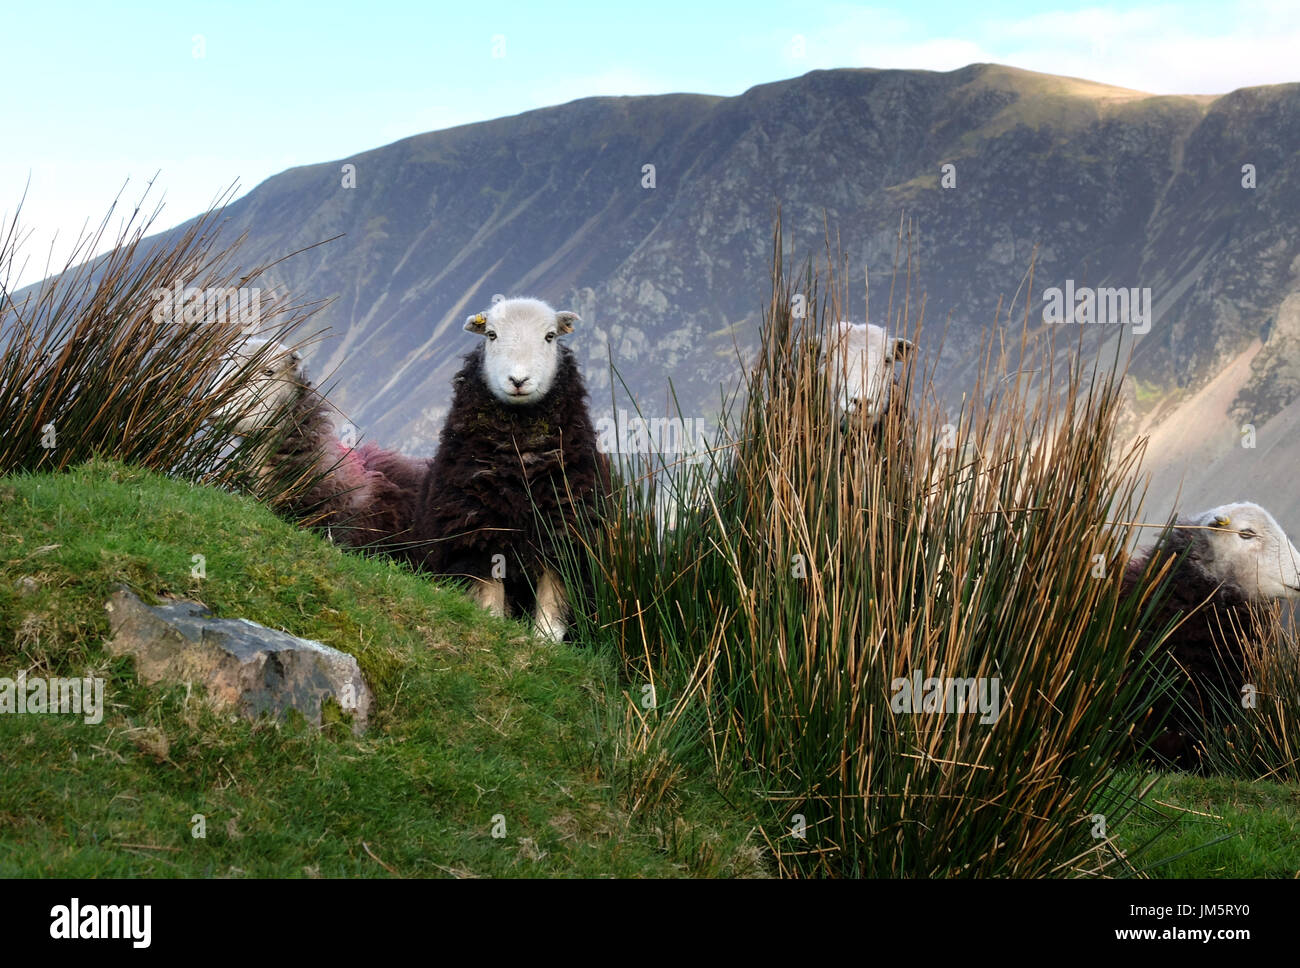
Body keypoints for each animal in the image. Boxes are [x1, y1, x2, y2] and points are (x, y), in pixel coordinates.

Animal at [408, 297, 608, 643]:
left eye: (550, 336)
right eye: (491, 334)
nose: (518, 381)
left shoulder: (563, 527)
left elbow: (553, 597)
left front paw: (546, 641)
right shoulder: (478, 525)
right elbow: (489, 592)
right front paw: (492, 626)